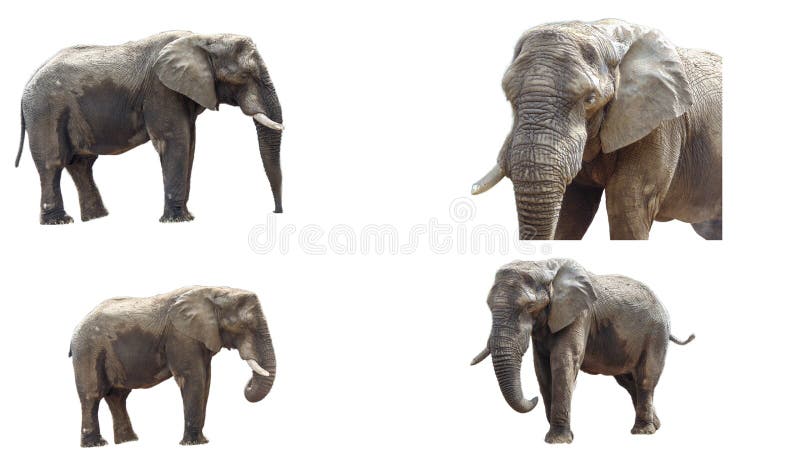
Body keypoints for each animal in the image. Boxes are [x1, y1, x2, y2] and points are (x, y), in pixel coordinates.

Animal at [16, 31, 284, 224]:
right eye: (245, 76)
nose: (277, 212)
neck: (204, 38)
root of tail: (27, 83)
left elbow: (190, 144)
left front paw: (185, 216)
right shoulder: (161, 90)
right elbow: (176, 141)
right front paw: (178, 221)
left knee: (81, 163)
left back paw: (96, 218)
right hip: (45, 111)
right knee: (53, 163)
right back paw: (60, 222)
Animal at [69, 286, 276, 446]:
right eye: (243, 325)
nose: (248, 383)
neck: (215, 291)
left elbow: (206, 381)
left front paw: (202, 441)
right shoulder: (180, 336)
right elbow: (194, 378)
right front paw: (194, 443)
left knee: (118, 396)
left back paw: (128, 441)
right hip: (88, 350)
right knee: (93, 394)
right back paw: (97, 444)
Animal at [471, 19, 722, 240]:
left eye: (590, 99)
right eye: (508, 96)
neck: (604, 32)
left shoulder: (659, 123)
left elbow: (627, 203)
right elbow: (574, 209)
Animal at [471, 259, 694, 443]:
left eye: (530, 306)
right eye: (488, 305)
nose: (532, 398)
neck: (545, 266)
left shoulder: (579, 314)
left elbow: (563, 362)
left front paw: (558, 441)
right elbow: (542, 369)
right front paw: (558, 436)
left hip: (656, 333)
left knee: (645, 379)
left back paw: (643, 432)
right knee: (630, 383)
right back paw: (656, 426)